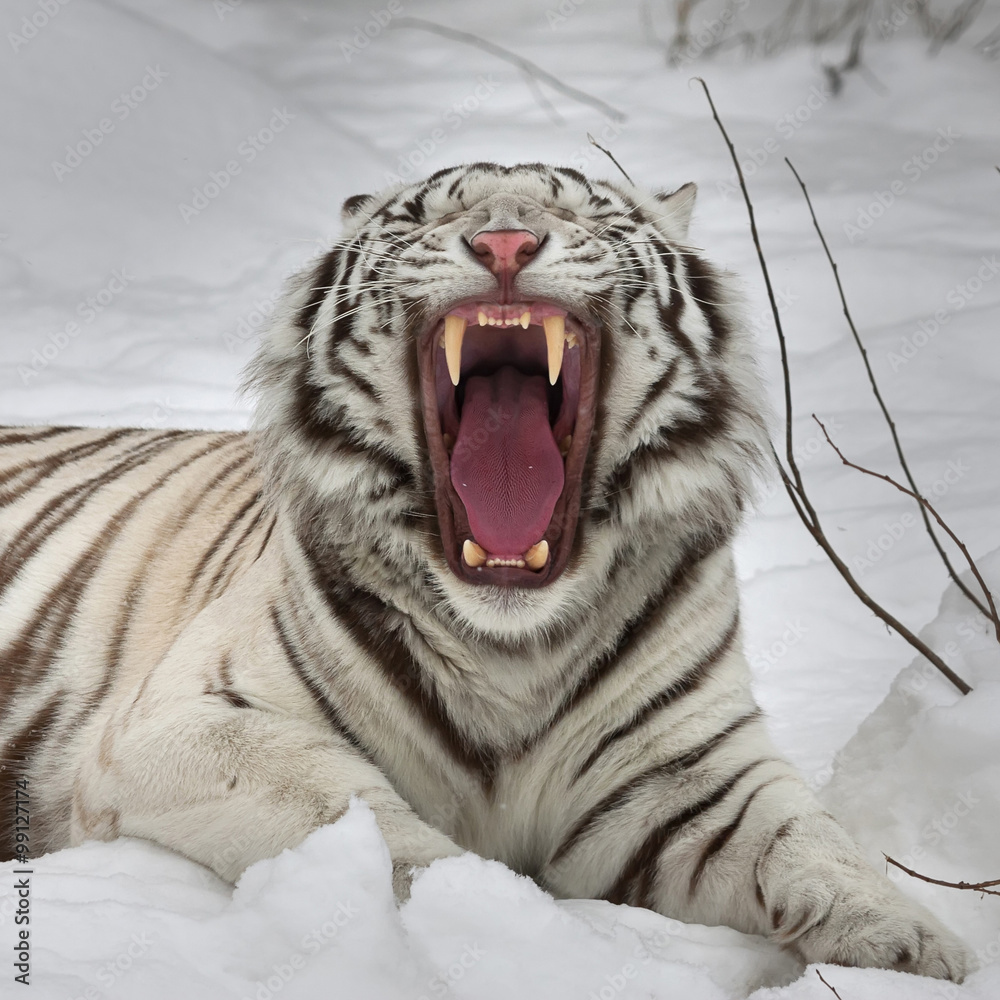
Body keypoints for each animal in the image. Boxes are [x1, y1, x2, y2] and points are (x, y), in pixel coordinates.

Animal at [0, 162, 971, 982]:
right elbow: (360, 820)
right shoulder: (182, 725)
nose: (506, 245)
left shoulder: (685, 774)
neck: (512, 645)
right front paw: (502, 927)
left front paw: (915, 949)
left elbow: (811, 844)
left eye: (587, 215)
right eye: (429, 216)